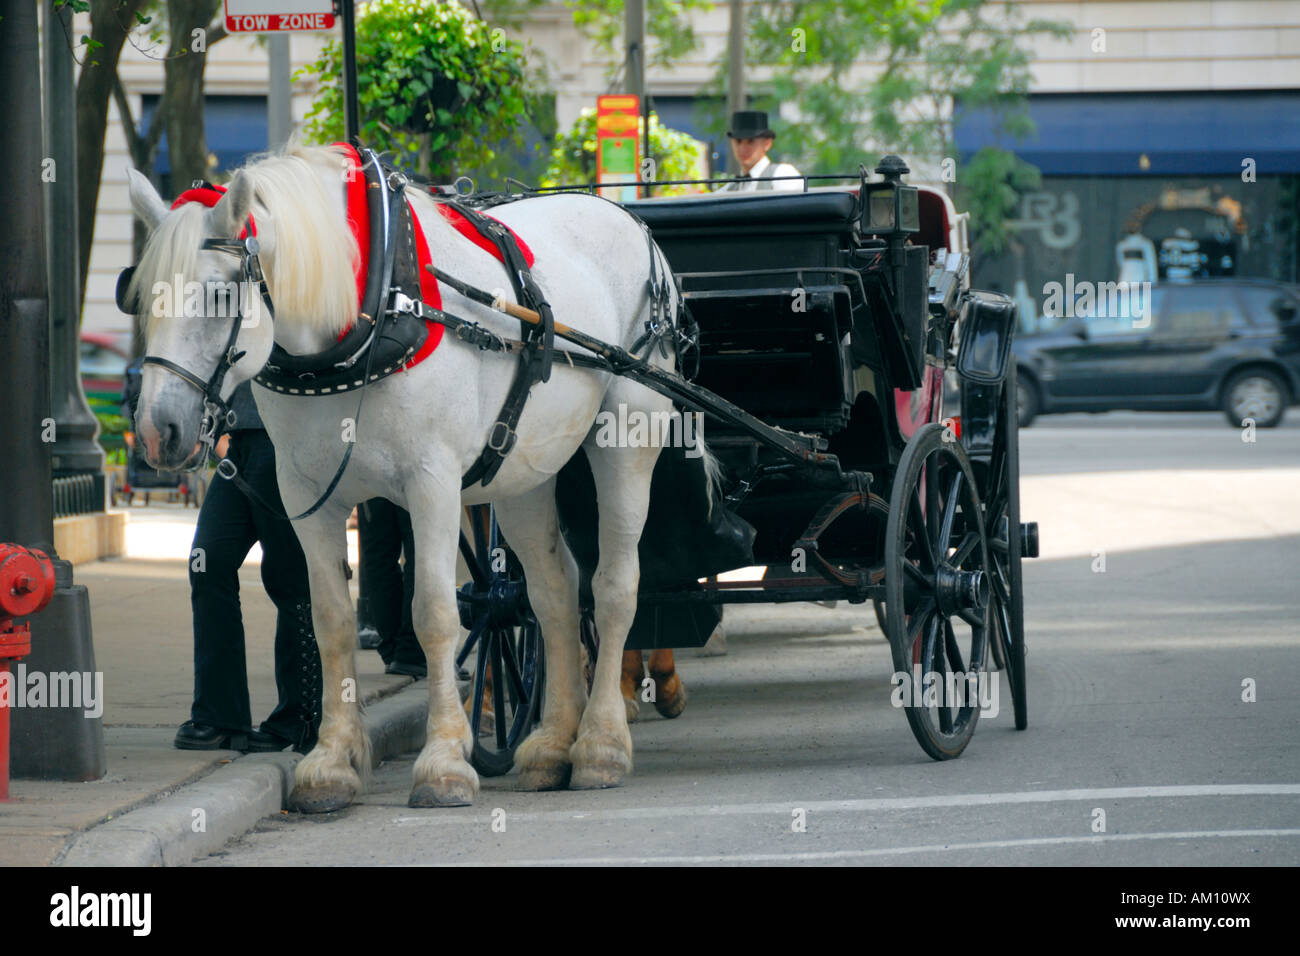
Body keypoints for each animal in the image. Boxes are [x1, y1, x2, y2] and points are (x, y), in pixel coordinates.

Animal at [127, 142, 711, 811]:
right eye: (141, 297)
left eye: (221, 295)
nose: (157, 431)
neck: (373, 312)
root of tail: (632, 223)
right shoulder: (306, 496)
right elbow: (330, 621)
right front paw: (332, 761)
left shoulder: (432, 483)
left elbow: (433, 613)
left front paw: (445, 761)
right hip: (525, 469)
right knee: (555, 592)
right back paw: (551, 746)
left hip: (627, 437)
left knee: (615, 587)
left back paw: (601, 745)